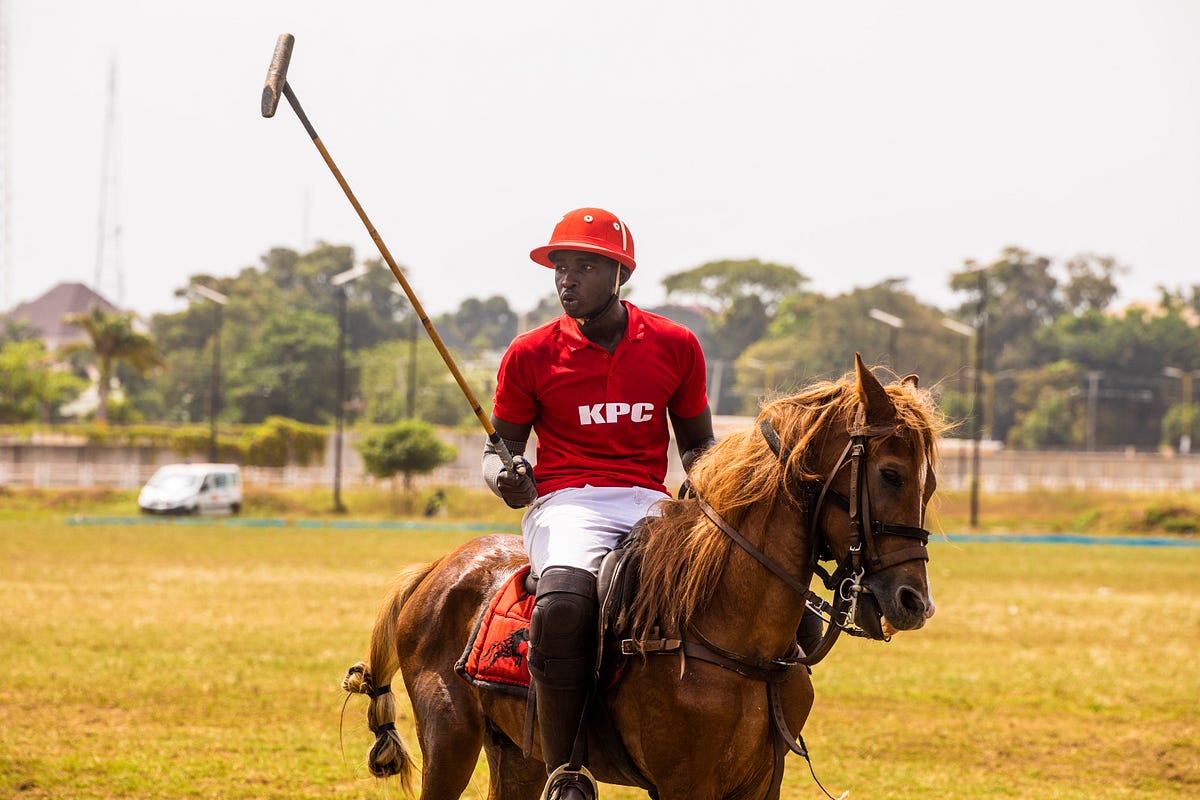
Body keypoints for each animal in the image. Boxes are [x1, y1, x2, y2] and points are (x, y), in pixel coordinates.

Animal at [342, 355, 947, 800]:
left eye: (932, 483)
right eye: (891, 474)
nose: (914, 603)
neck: (733, 636)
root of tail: (435, 569)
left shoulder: (759, 782)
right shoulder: (684, 783)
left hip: (517, 750)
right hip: (450, 738)